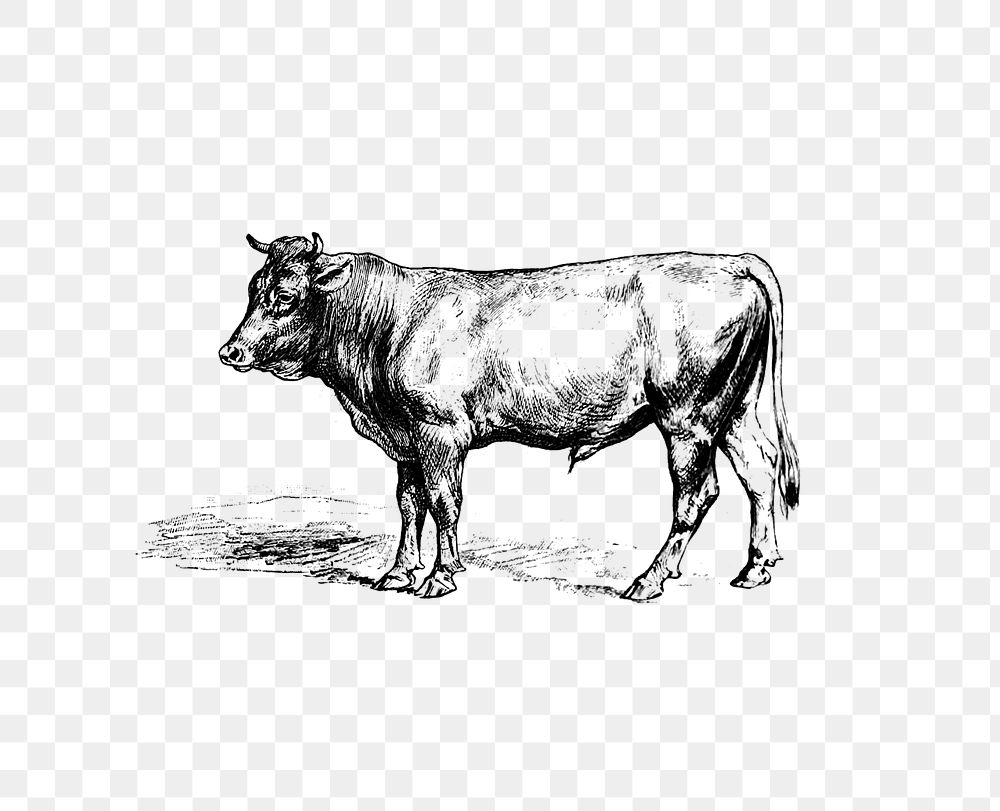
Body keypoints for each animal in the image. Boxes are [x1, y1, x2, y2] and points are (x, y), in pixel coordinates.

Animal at [220, 232, 799, 600]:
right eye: (252, 290)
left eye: (286, 296)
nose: (230, 351)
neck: (385, 320)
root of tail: (732, 261)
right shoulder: (404, 437)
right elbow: (409, 502)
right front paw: (399, 572)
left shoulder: (439, 431)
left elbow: (442, 502)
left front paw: (440, 576)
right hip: (736, 411)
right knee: (759, 471)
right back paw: (756, 567)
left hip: (687, 415)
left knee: (697, 494)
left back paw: (649, 581)